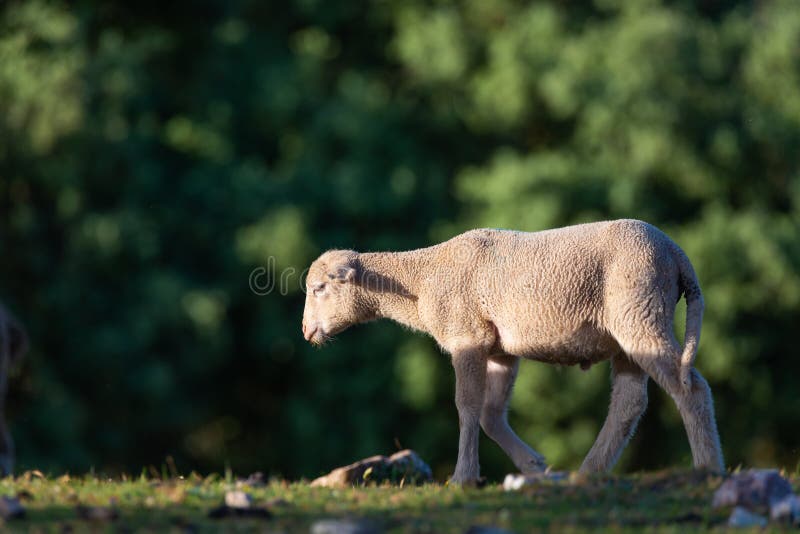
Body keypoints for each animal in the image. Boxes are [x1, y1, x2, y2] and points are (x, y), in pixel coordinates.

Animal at [301, 219, 724, 484]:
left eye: (320, 288)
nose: (306, 332)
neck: (422, 281)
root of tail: (676, 252)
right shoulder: (500, 350)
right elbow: (490, 414)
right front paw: (534, 466)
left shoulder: (467, 335)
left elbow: (468, 406)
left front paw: (463, 477)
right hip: (628, 327)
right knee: (629, 404)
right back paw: (588, 471)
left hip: (640, 309)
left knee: (690, 388)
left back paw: (708, 468)